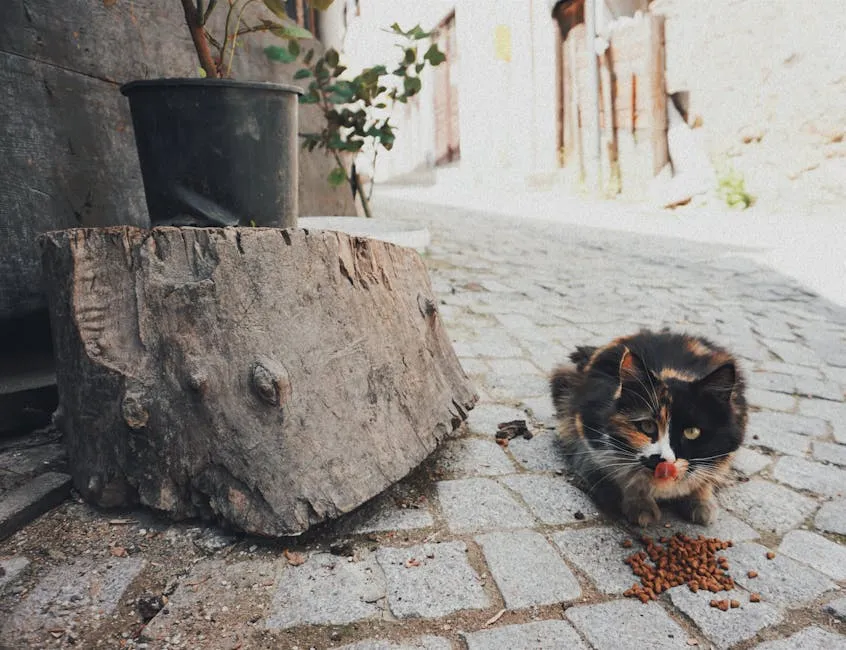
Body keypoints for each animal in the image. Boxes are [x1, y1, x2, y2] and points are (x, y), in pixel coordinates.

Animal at [552, 330, 744, 528]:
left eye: (692, 432)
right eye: (647, 426)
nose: (665, 461)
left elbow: (708, 476)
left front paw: (702, 504)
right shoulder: (588, 434)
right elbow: (623, 475)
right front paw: (641, 507)